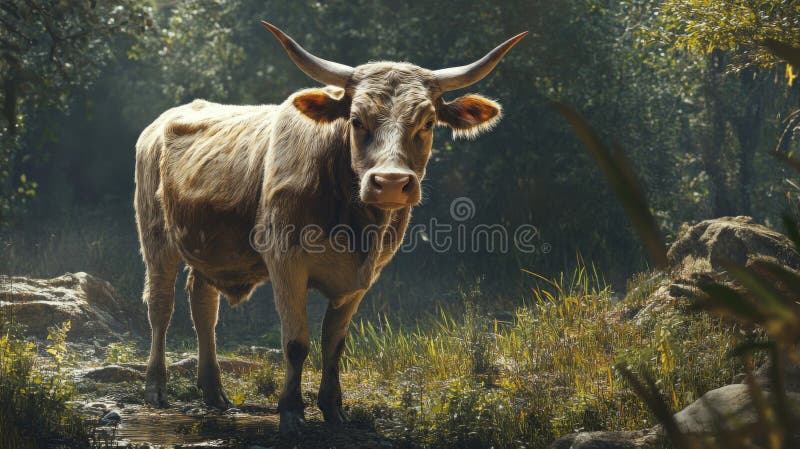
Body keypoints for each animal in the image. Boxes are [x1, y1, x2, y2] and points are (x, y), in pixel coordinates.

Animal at [134, 21, 526, 433]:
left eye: (428, 122)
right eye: (355, 120)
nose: (390, 182)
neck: (352, 222)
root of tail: (164, 120)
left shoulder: (362, 278)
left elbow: (334, 344)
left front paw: (333, 409)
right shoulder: (285, 262)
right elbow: (296, 342)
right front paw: (291, 410)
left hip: (211, 249)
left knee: (203, 306)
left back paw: (214, 392)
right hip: (156, 238)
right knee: (161, 306)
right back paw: (155, 388)